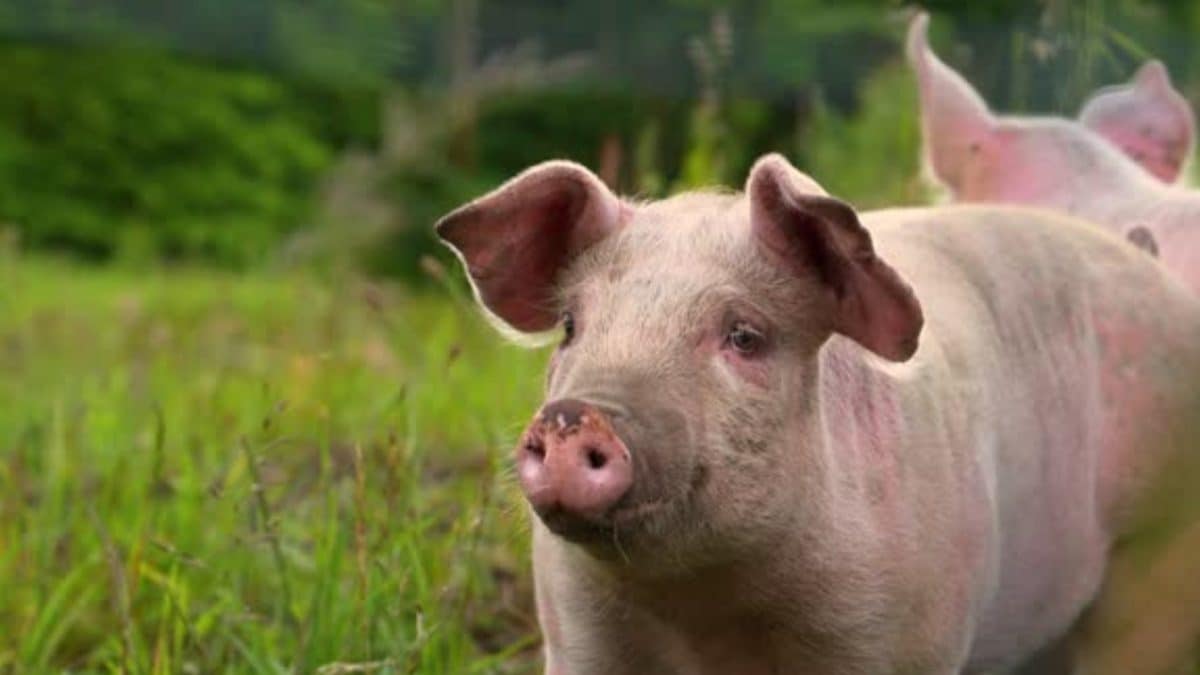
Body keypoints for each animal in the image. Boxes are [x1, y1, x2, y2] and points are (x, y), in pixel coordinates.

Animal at [435, 153, 1200, 674]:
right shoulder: (575, 626)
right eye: (571, 326)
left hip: (1157, 554)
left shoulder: (903, 633)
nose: (576, 415)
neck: (706, 607)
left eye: (745, 336)